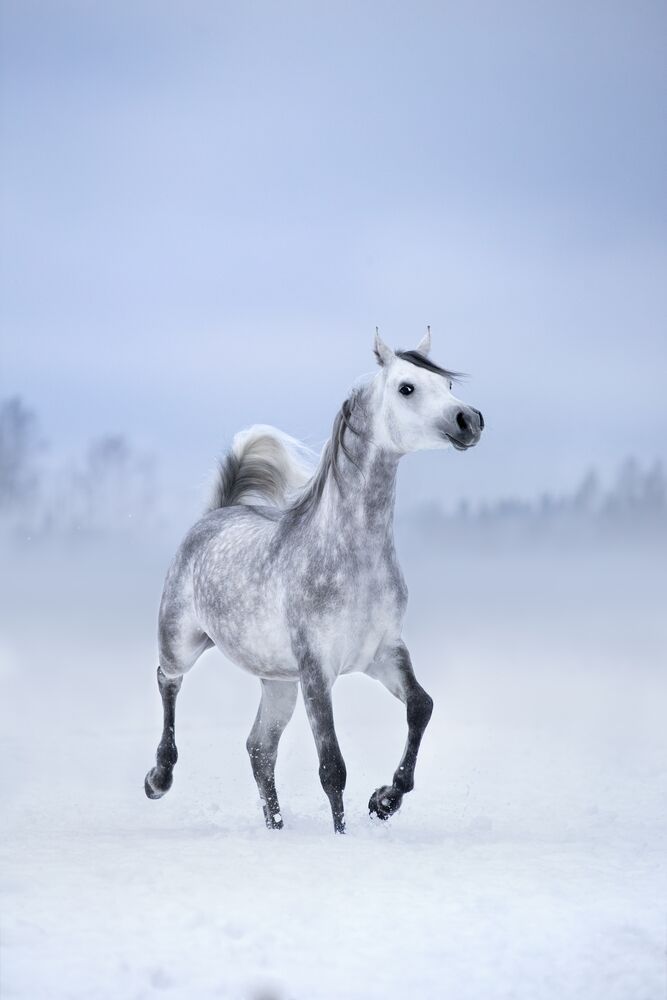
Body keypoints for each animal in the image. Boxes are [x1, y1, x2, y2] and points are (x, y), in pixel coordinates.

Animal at [144, 329, 484, 833]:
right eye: (406, 387)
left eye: (447, 385)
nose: (470, 420)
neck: (351, 558)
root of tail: (218, 513)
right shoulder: (316, 669)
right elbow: (332, 767)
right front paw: (344, 834)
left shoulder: (384, 653)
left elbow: (421, 708)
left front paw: (384, 801)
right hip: (184, 642)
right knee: (168, 681)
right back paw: (159, 778)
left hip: (277, 681)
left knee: (259, 748)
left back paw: (276, 827)